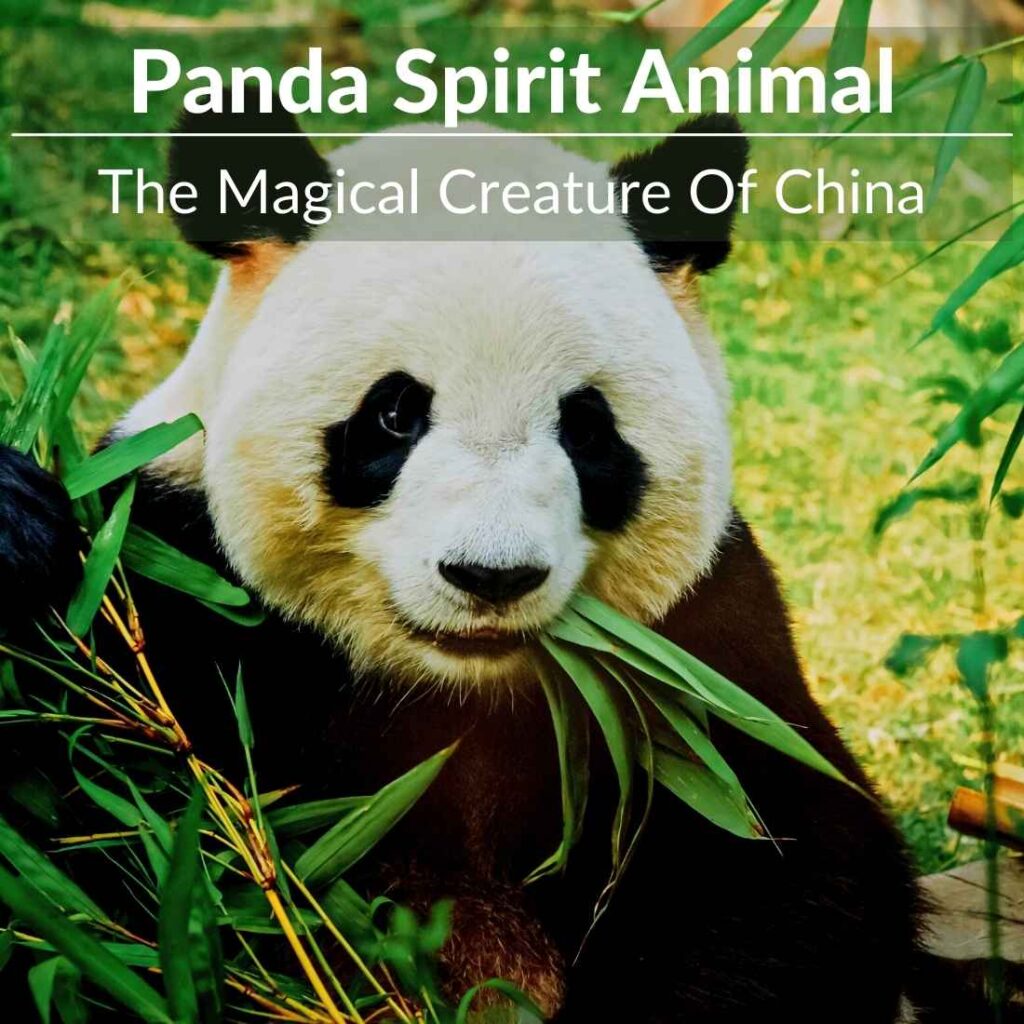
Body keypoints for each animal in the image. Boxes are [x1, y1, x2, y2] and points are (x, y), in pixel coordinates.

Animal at [0, 108, 930, 1023]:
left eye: (585, 426)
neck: (455, 684)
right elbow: (99, 839)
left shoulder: (702, 640)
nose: (491, 576)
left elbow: (785, 859)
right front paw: (20, 530)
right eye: (394, 414)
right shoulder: (174, 574)